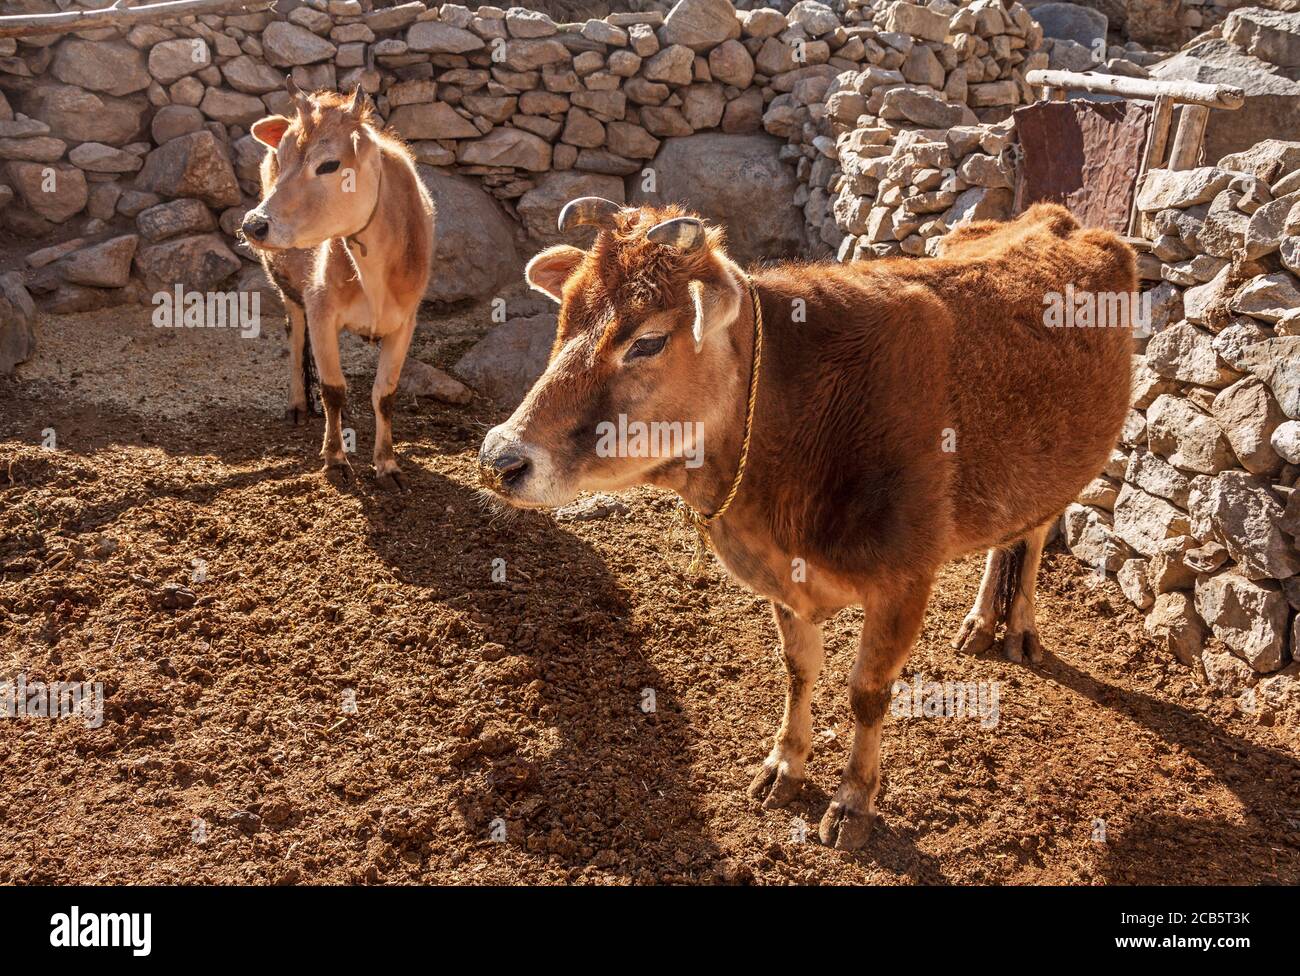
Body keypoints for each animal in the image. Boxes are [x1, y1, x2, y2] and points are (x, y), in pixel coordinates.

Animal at [242, 80, 434, 491]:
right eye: (283, 155)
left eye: (329, 164)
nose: (253, 225)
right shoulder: (321, 310)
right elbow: (334, 389)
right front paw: (335, 459)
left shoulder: (406, 323)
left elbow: (385, 394)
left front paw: (387, 464)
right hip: (287, 285)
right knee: (295, 334)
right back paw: (299, 404)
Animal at [476, 197, 1134, 851]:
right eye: (565, 320)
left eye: (648, 342)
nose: (499, 456)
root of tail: (1056, 219)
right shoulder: (785, 583)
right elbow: (798, 670)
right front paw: (784, 765)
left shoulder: (904, 582)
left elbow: (867, 694)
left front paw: (853, 802)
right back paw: (978, 622)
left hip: (1064, 466)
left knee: (1035, 531)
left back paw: (1017, 627)